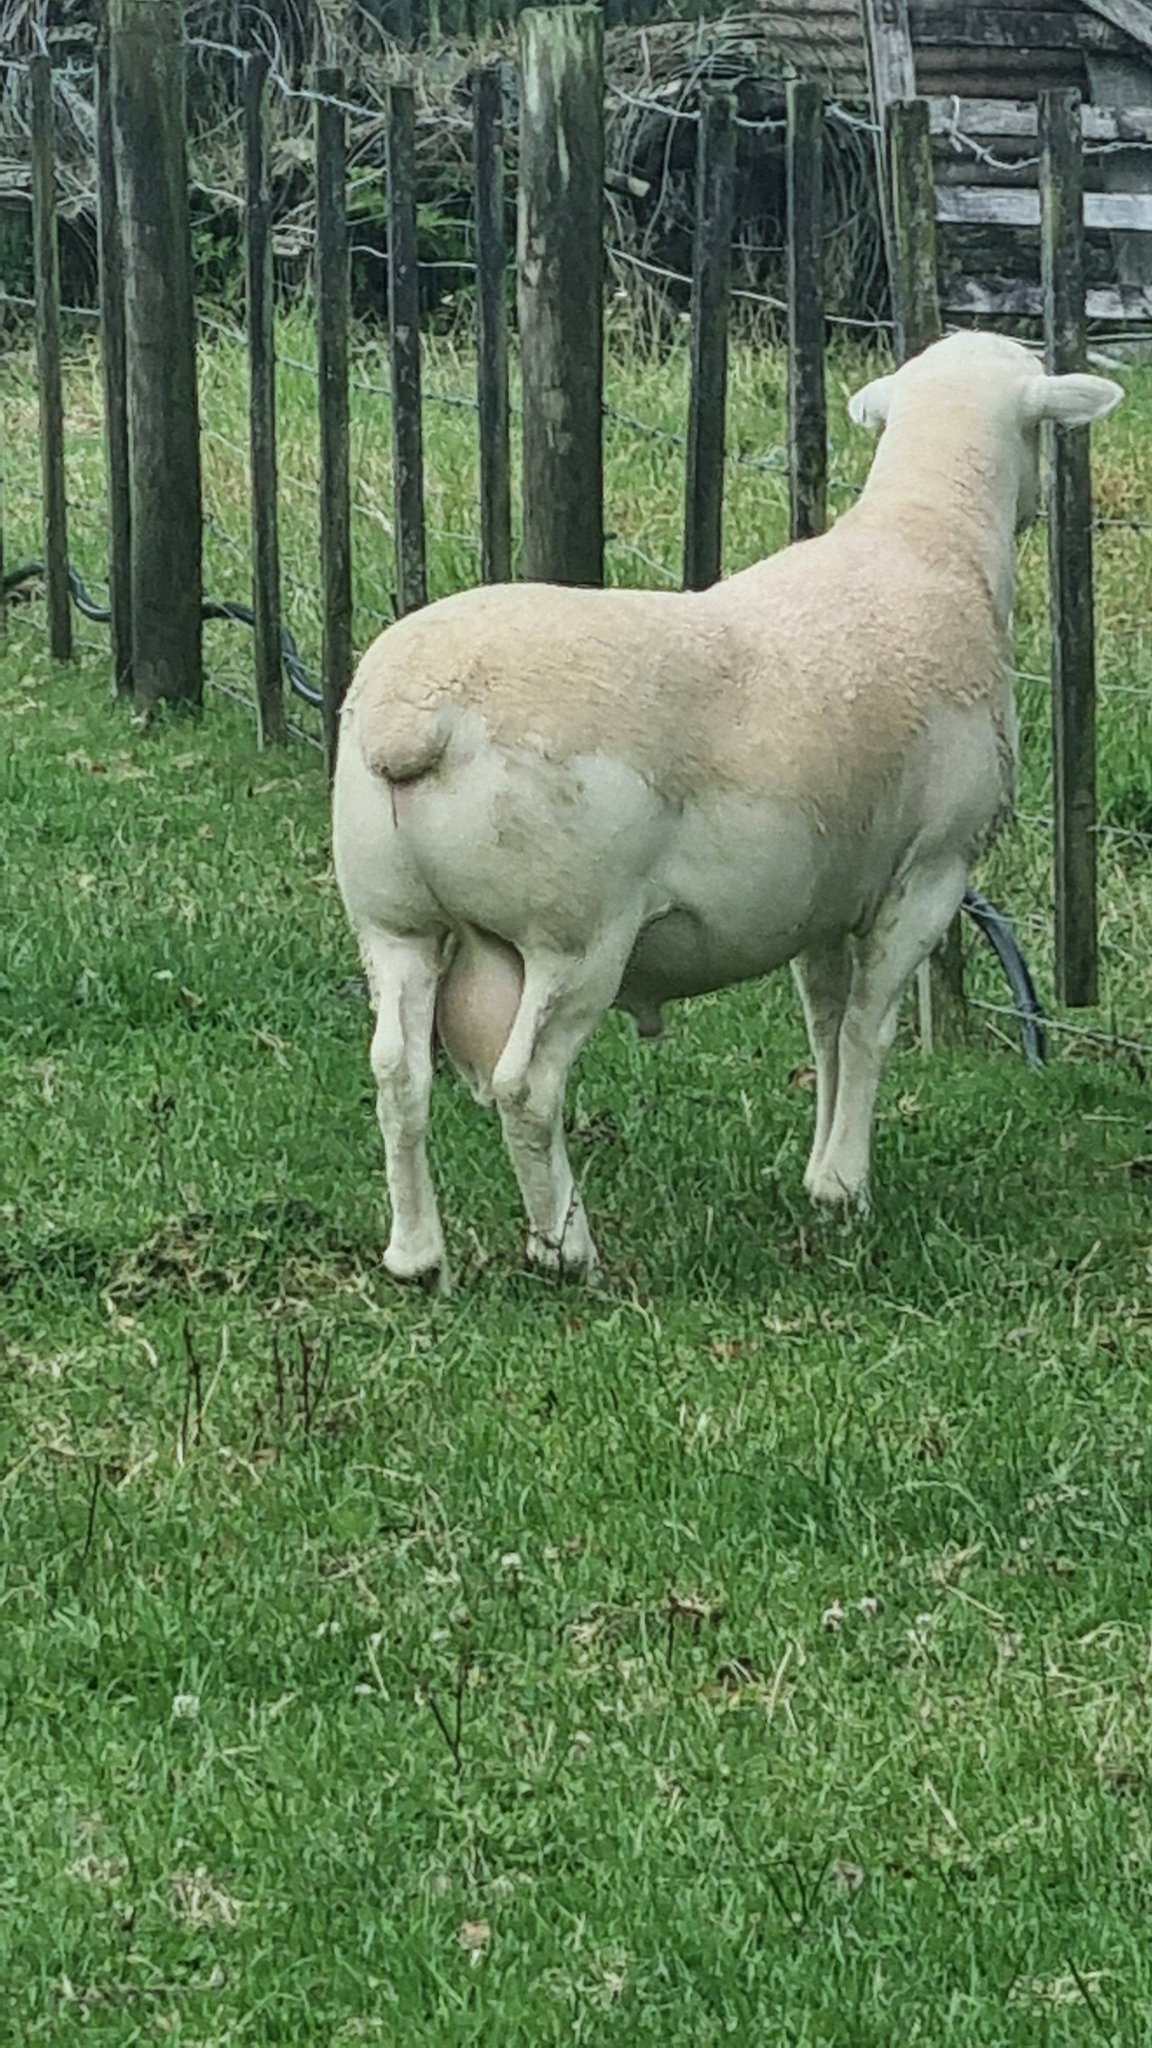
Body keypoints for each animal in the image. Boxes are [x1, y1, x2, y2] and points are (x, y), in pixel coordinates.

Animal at [332, 331, 1121, 1286]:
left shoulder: (823, 891)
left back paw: (415, 1255)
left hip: (394, 919)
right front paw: (845, 1187)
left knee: (397, 1072)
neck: (929, 540)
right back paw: (564, 1248)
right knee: (526, 1085)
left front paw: (820, 1167)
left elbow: (824, 1025)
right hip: (574, 931)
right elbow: (869, 1028)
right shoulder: (930, 873)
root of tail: (415, 717)